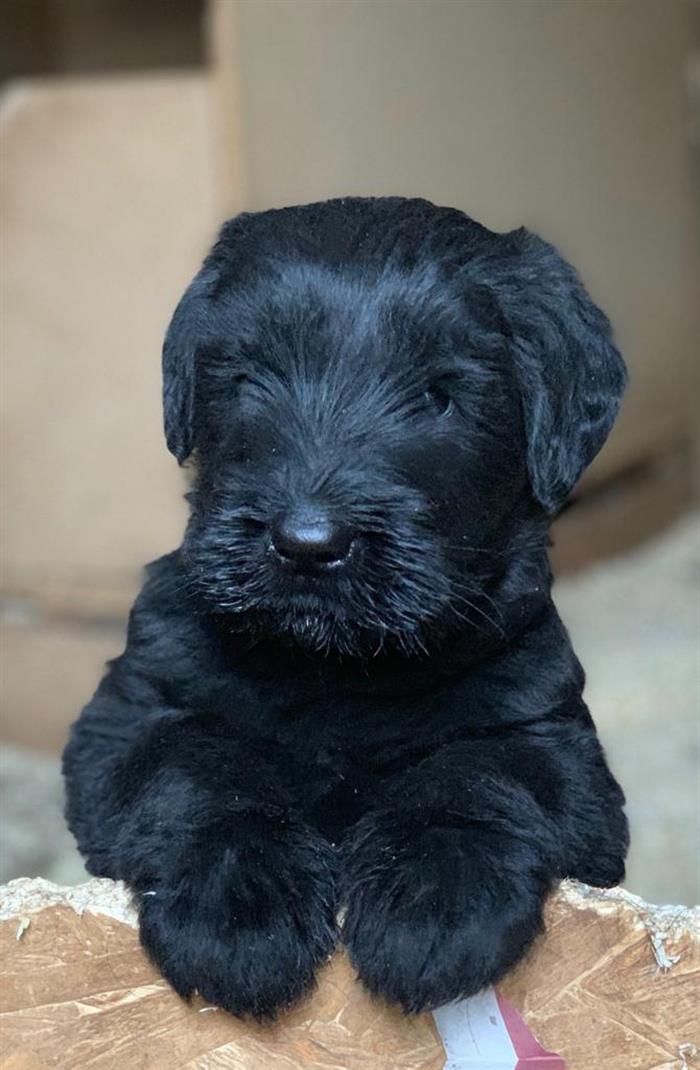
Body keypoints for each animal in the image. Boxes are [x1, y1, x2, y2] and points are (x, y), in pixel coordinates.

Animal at [63, 196, 629, 1014]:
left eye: (437, 396)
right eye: (248, 378)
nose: (305, 545)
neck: (334, 667)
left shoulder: (551, 736)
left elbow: (481, 771)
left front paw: (435, 904)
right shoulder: (125, 720)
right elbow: (199, 763)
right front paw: (240, 909)